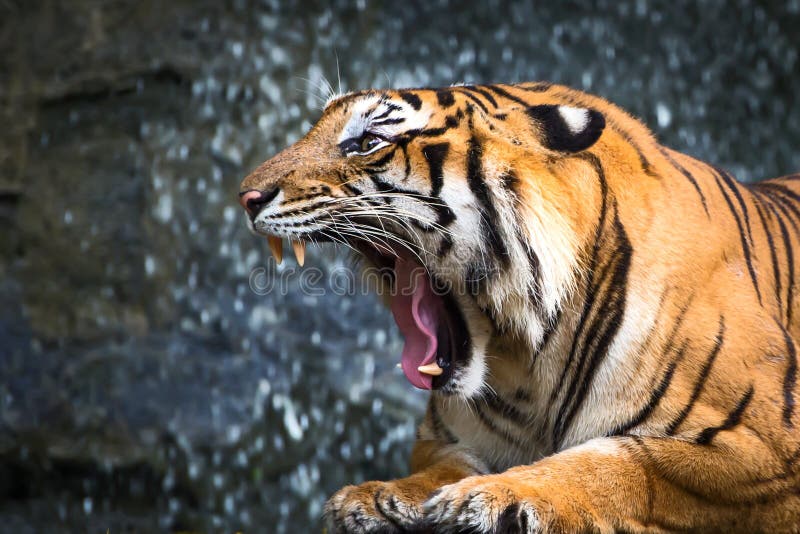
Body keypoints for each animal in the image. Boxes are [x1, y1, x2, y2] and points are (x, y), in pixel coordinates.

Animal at [238, 82, 800, 533]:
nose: (246, 196)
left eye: (369, 142)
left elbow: (621, 464)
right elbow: (444, 464)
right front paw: (377, 498)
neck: (530, 357)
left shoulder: (763, 452)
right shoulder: (440, 435)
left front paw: (501, 498)